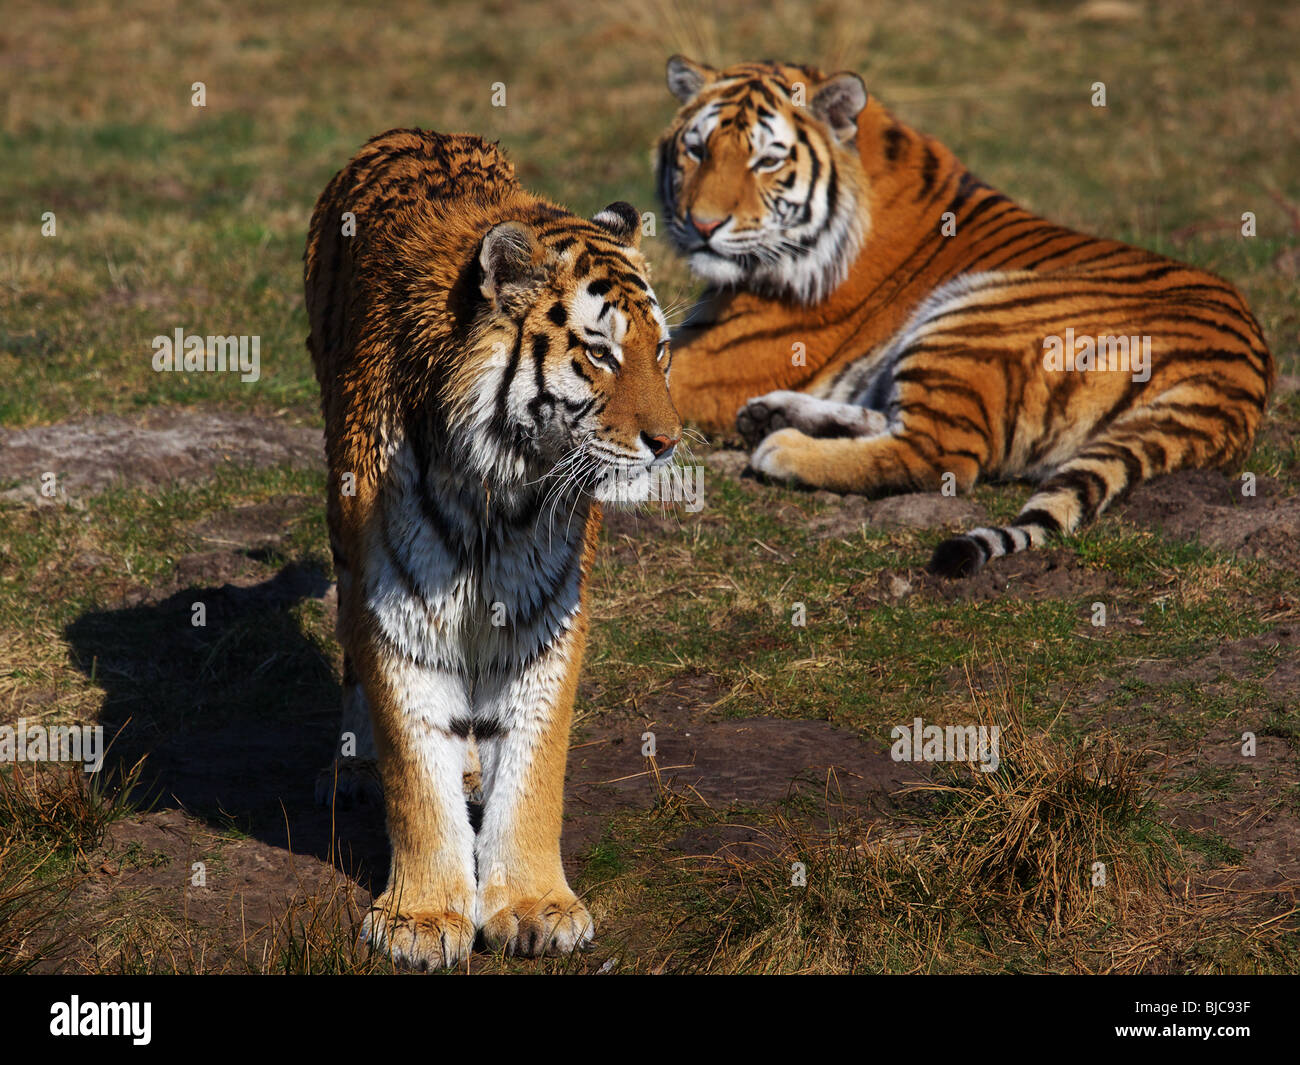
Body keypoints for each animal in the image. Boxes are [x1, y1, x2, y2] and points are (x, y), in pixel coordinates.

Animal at [304, 129, 680, 968]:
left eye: (662, 353)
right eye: (601, 353)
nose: (670, 442)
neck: (502, 487)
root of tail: (411, 131)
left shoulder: (544, 607)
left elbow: (534, 767)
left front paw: (537, 905)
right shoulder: (400, 603)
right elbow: (416, 775)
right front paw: (419, 917)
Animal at [655, 57, 1274, 577]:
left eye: (767, 160)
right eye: (697, 151)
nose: (703, 225)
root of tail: (1236, 382)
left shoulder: (716, 357)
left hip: (969, 316)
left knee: (940, 453)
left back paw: (780, 447)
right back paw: (769, 416)